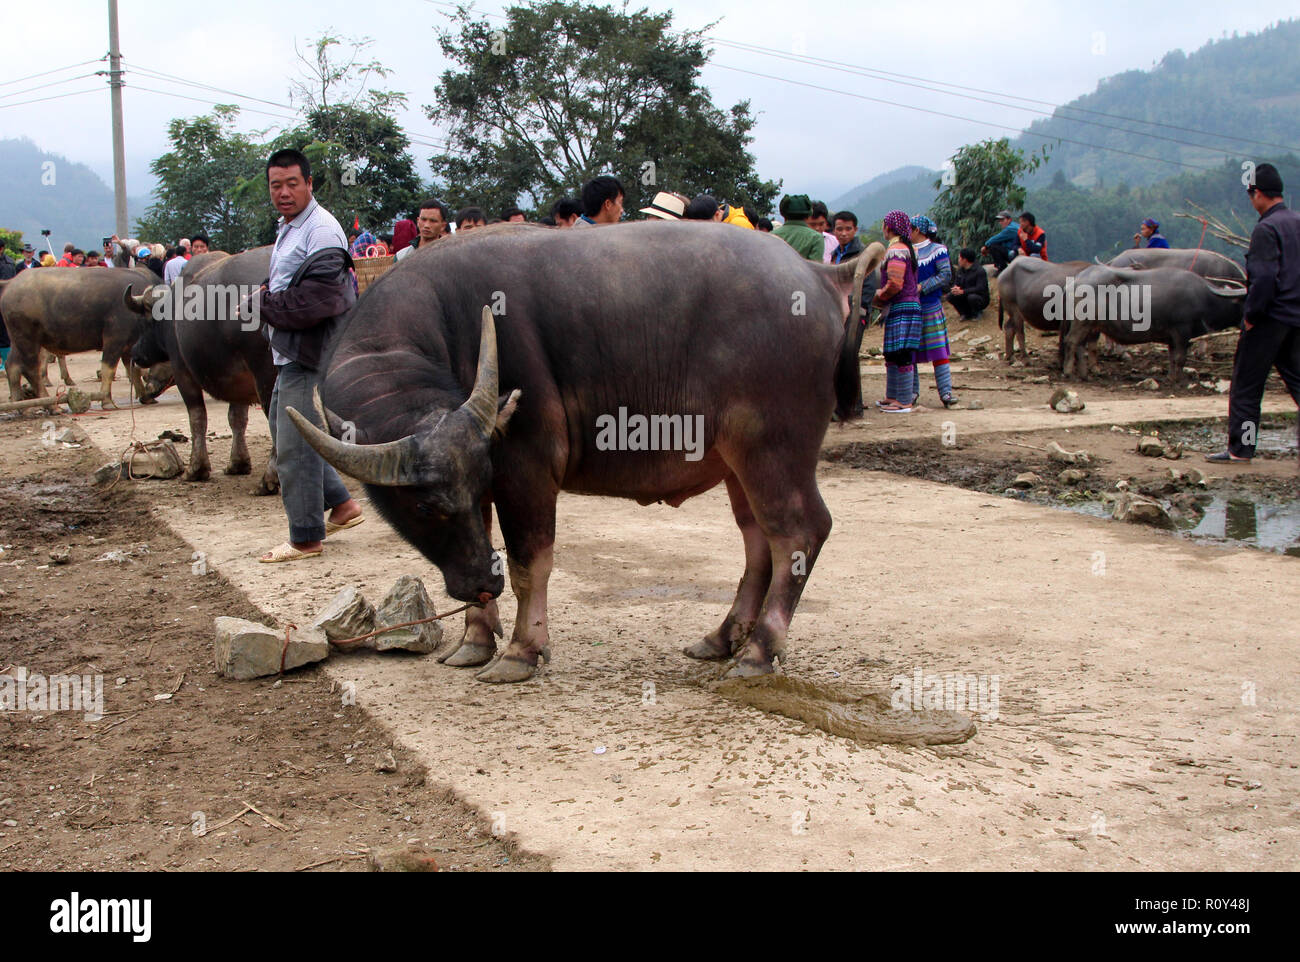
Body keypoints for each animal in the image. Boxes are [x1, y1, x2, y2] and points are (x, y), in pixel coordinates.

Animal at [286, 222, 881, 683]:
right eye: (428, 505)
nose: (482, 583)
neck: (440, 332)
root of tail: (822, 277)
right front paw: (474, 641)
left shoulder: (525, 470)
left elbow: (530, 561)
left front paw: (521, 652)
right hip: (738, 460)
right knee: (760, 542)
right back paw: (722, 638)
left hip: (773, 450)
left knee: (799, 533)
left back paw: (759, 652)